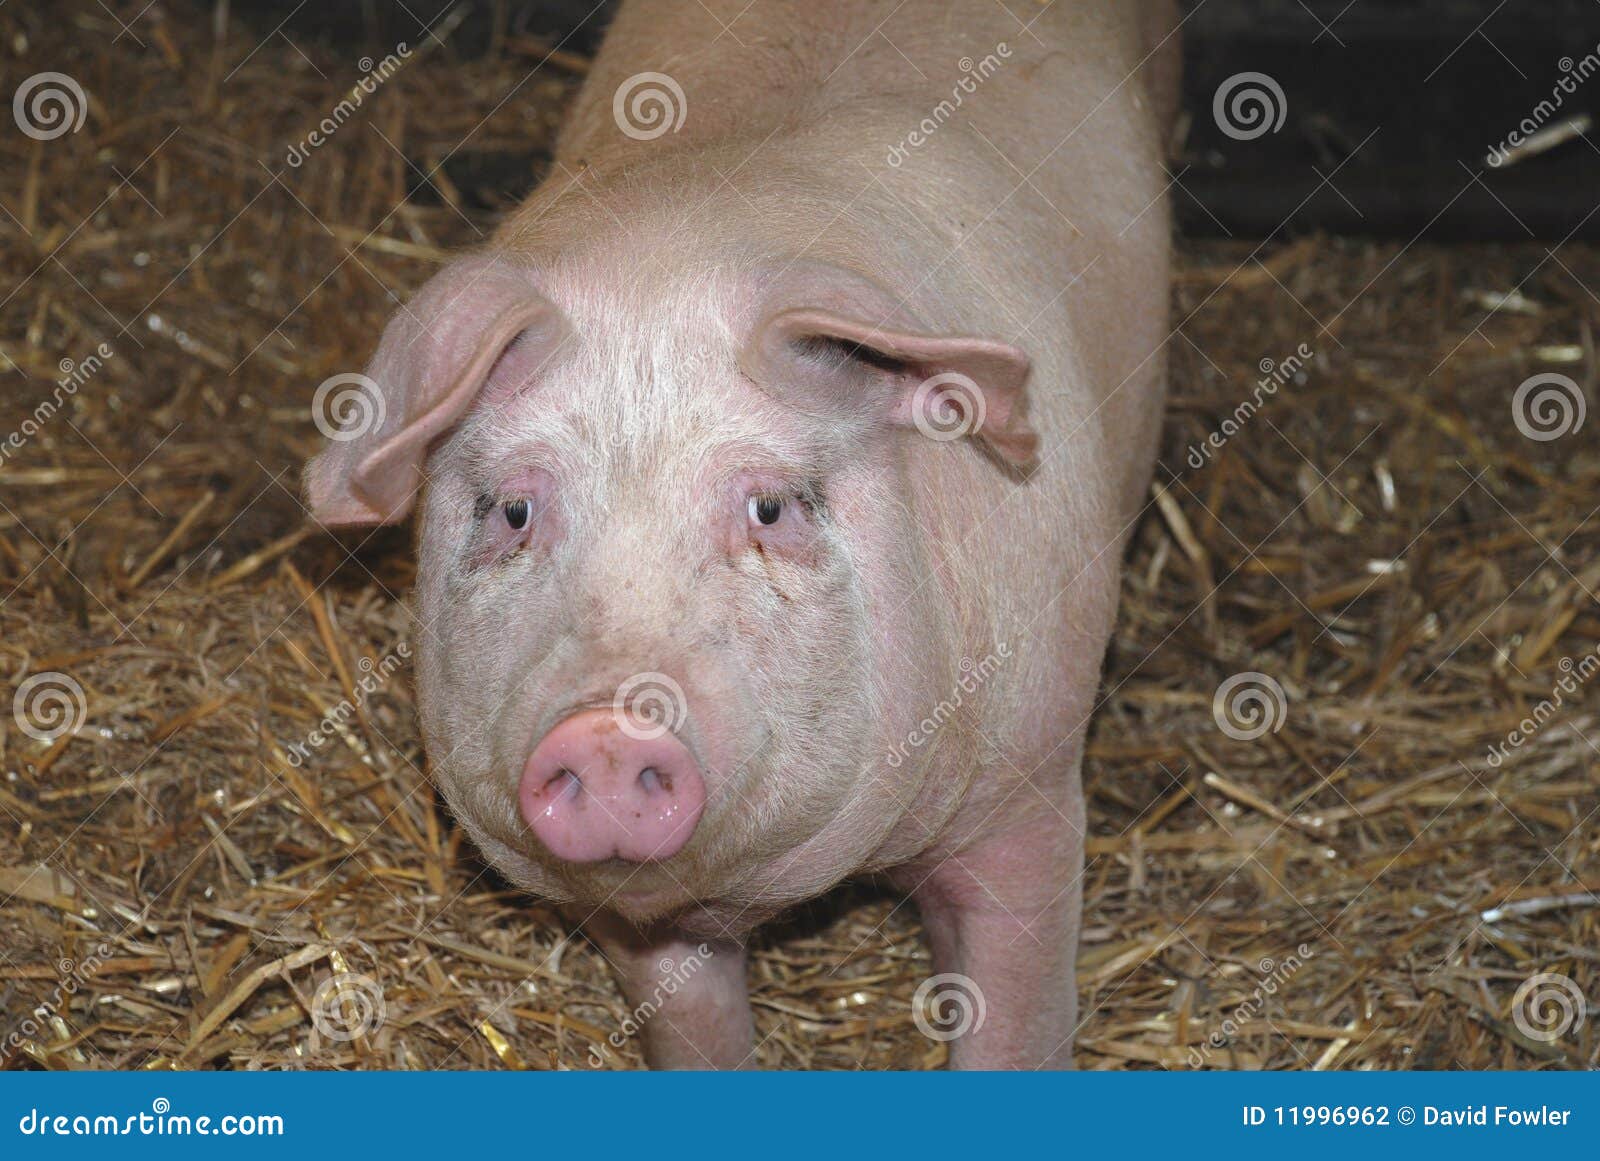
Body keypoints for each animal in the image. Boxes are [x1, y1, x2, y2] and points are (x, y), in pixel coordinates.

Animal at [305, 0, 1178, 1068]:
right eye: (513, 510)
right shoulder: (634, 916)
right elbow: (693, 1026)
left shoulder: (1032, 783)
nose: (608, 726)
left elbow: (1017, 1016)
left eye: (769, 507)